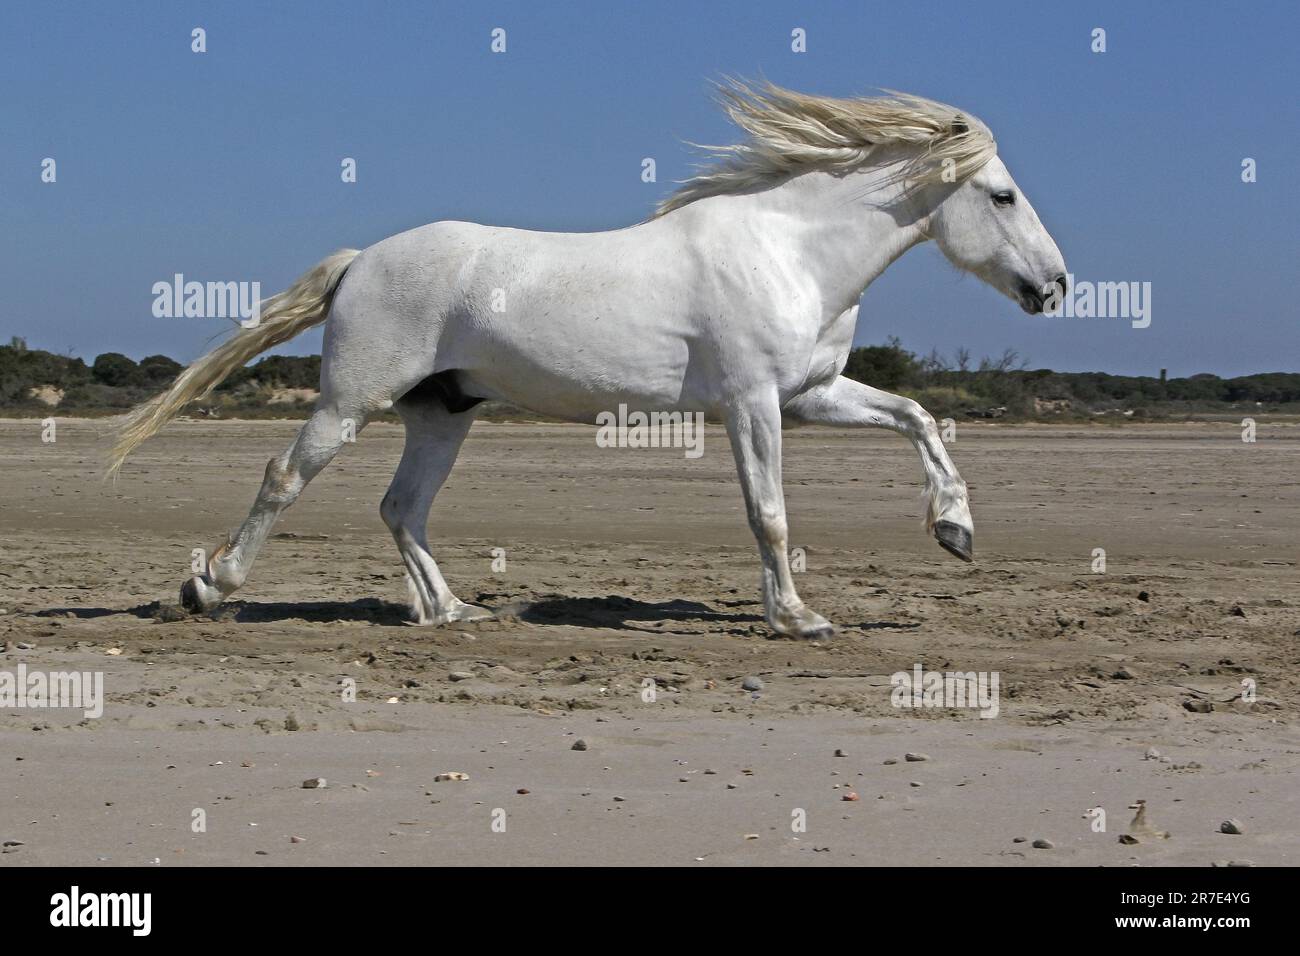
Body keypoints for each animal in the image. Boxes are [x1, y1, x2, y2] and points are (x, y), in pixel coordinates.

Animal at [109, 80, 1066, 640]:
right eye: (1001, 195)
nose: (1055, 286)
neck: (789, 251)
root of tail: (361, 260)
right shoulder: (754, 402)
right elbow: (769, 514)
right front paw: (798, 618)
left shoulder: (812, 394)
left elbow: (918, 419)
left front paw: (955, 531)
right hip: (352, 400)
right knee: (285, 478)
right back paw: (207, 589)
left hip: (440, 415)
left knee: (402, 508)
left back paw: (450, 611)